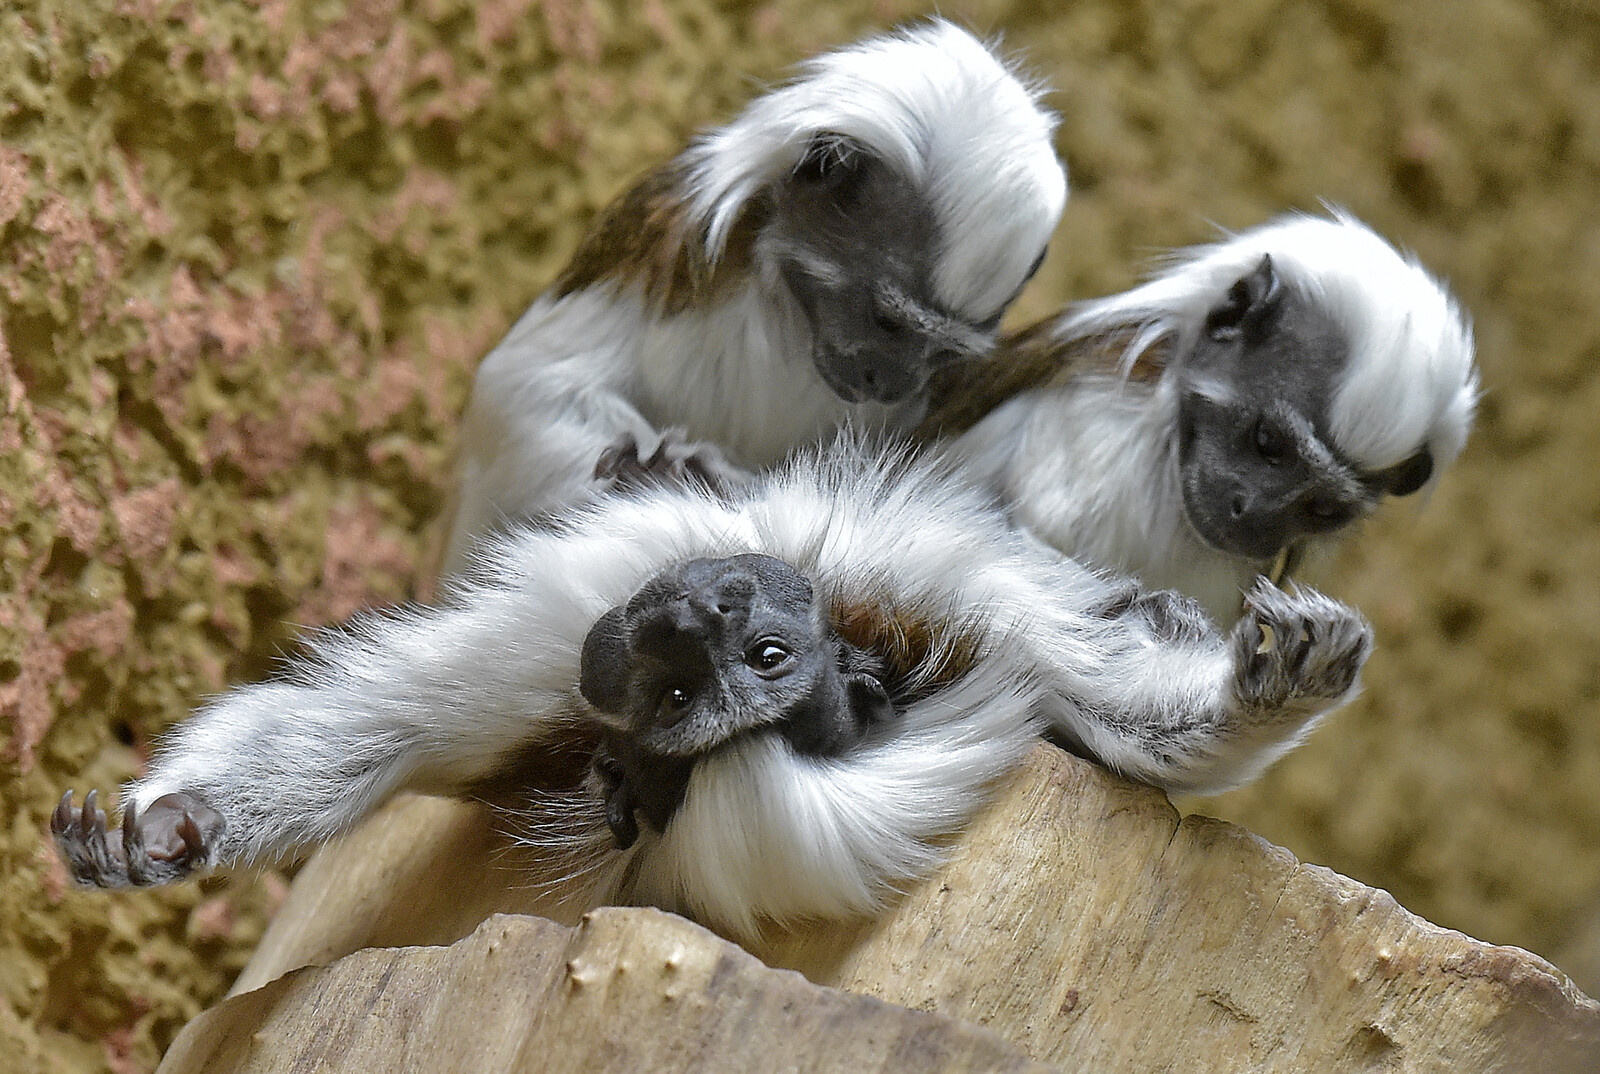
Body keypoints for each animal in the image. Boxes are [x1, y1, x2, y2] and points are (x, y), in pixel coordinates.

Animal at [54, 437, 1371, 938]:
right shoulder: (546, 674)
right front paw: (170, 833)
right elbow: (364, 738)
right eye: (688, 685)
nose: (689, 617)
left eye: (755, 672)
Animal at [442, 20, 1067, 572]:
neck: (789, 312)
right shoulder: (666, 254)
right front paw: (662, 474)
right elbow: (527, 388)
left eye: (942, 351)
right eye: (886, 320)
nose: (891, 383)